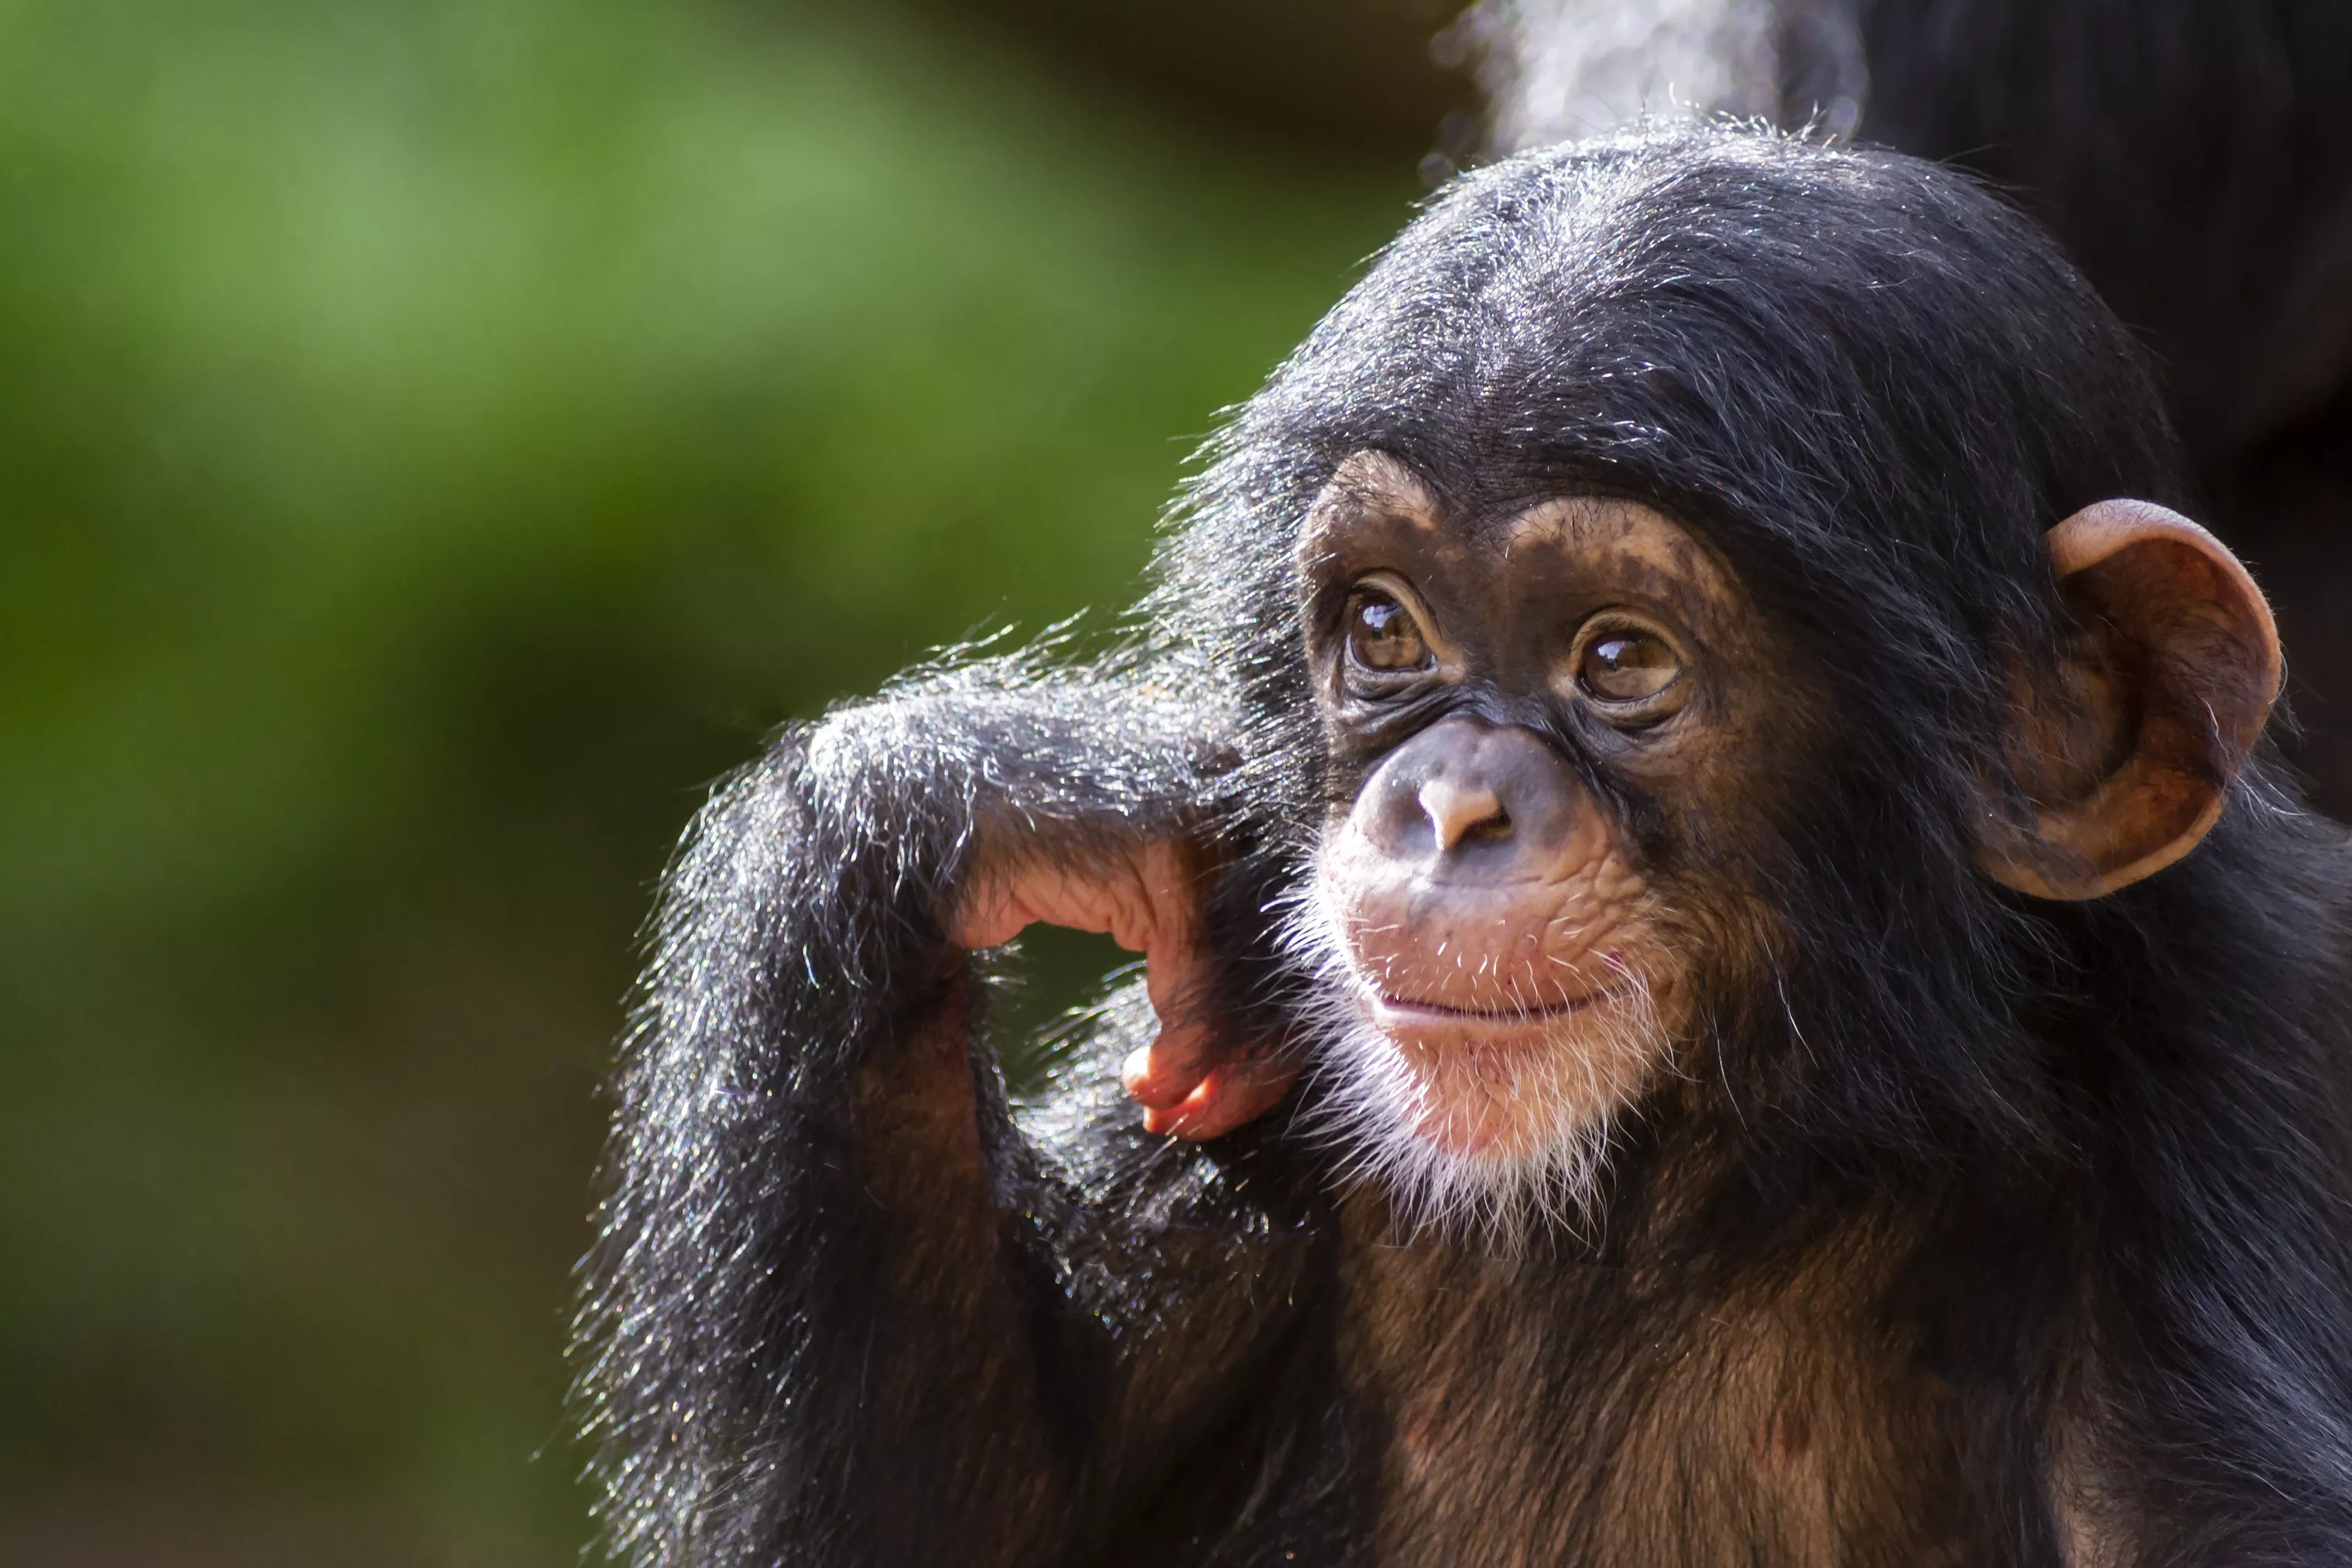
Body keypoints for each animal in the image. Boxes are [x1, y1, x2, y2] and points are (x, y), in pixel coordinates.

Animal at [575, 123, 2352, 1565]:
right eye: (1383, 627)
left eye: (1618, 659)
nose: (1449, 804)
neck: (1727, 1169)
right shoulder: (1258, 1069)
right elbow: (961, 1500)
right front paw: (995, 787)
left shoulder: (2242, 1097)